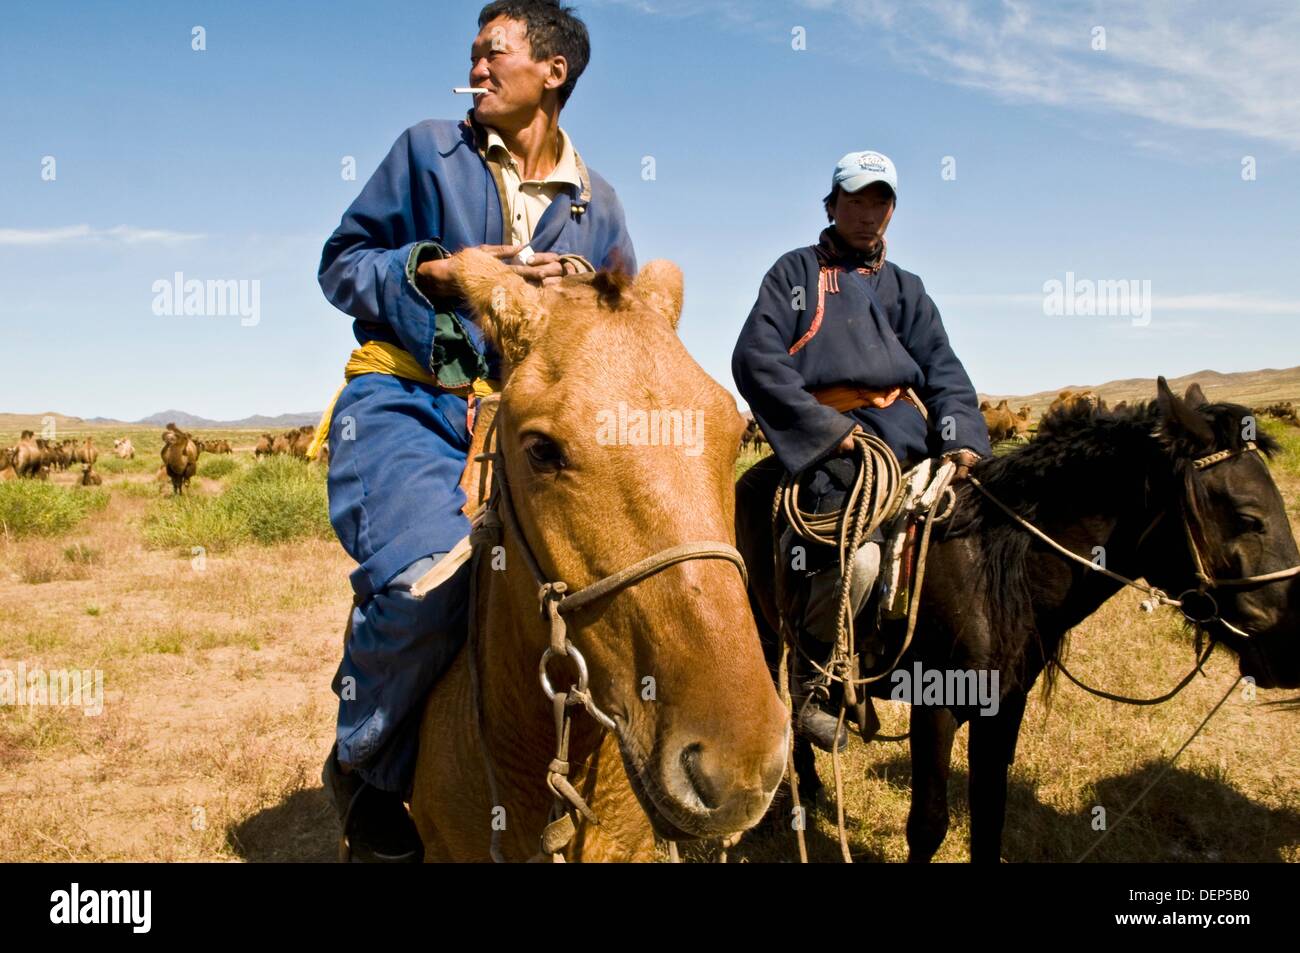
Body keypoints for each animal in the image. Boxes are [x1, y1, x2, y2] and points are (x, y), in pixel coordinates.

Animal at [736, 378, 1300, 862]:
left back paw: (811, 781)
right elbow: (928, 824)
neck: (989, 567)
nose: (1287, 644)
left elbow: (989, 816)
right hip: (765, 630)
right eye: (1248, 517)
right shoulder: (935, 706)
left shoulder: (1005, 704)